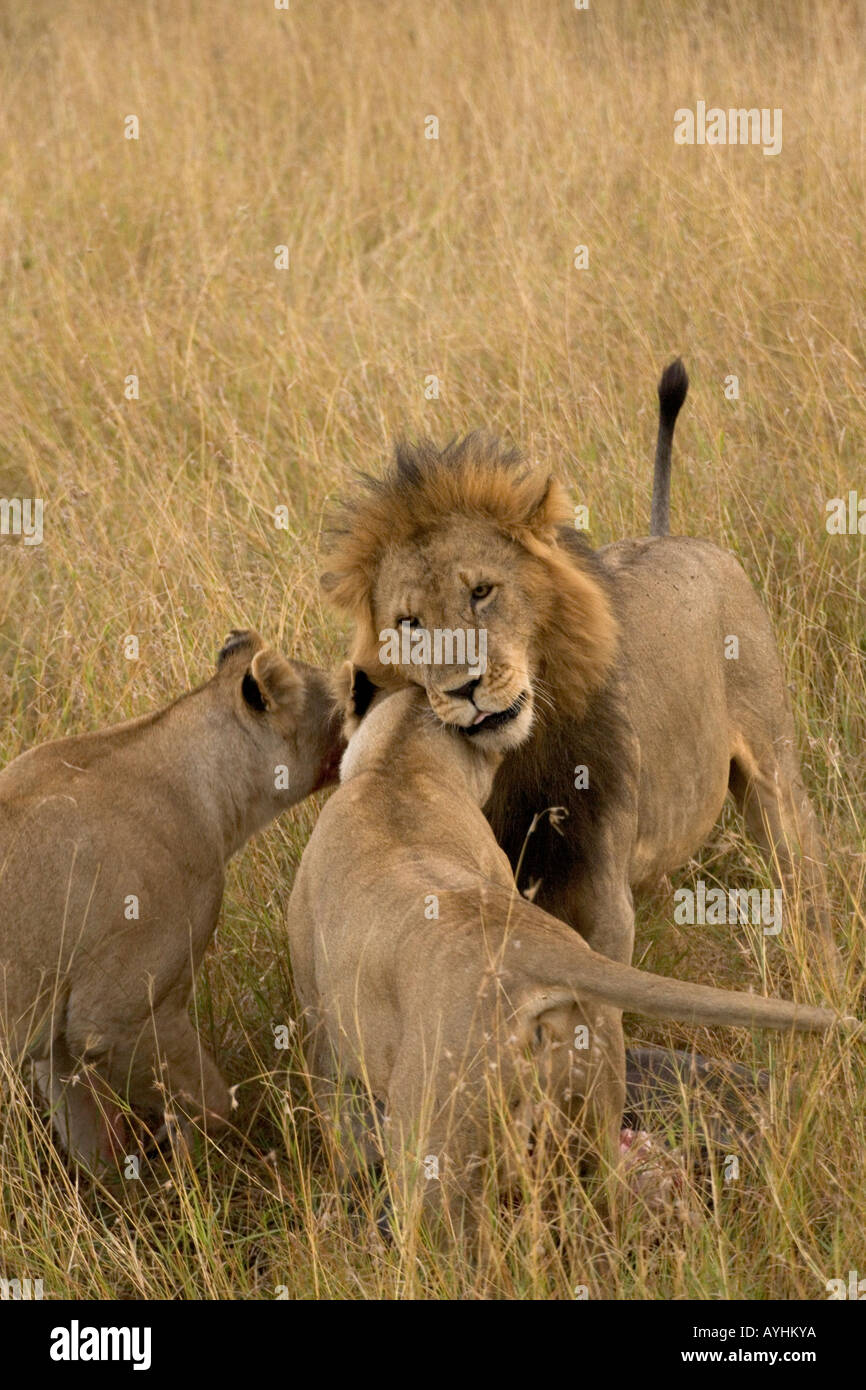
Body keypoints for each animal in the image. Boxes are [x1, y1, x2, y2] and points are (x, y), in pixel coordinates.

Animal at [285, 673, 851, 1237]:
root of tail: (535, 956)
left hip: (431, 1152)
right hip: (593, 1109)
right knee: (602, 1206)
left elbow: (341, 1134)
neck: (399, 770)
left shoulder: (321, 1031)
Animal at [321, 360, 838, 988]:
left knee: (801, 873)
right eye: (409, 623)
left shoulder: (600, 900)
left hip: (774, 771)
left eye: (482, 592)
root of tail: (668, 535)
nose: (464, 687)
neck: (518, 760)